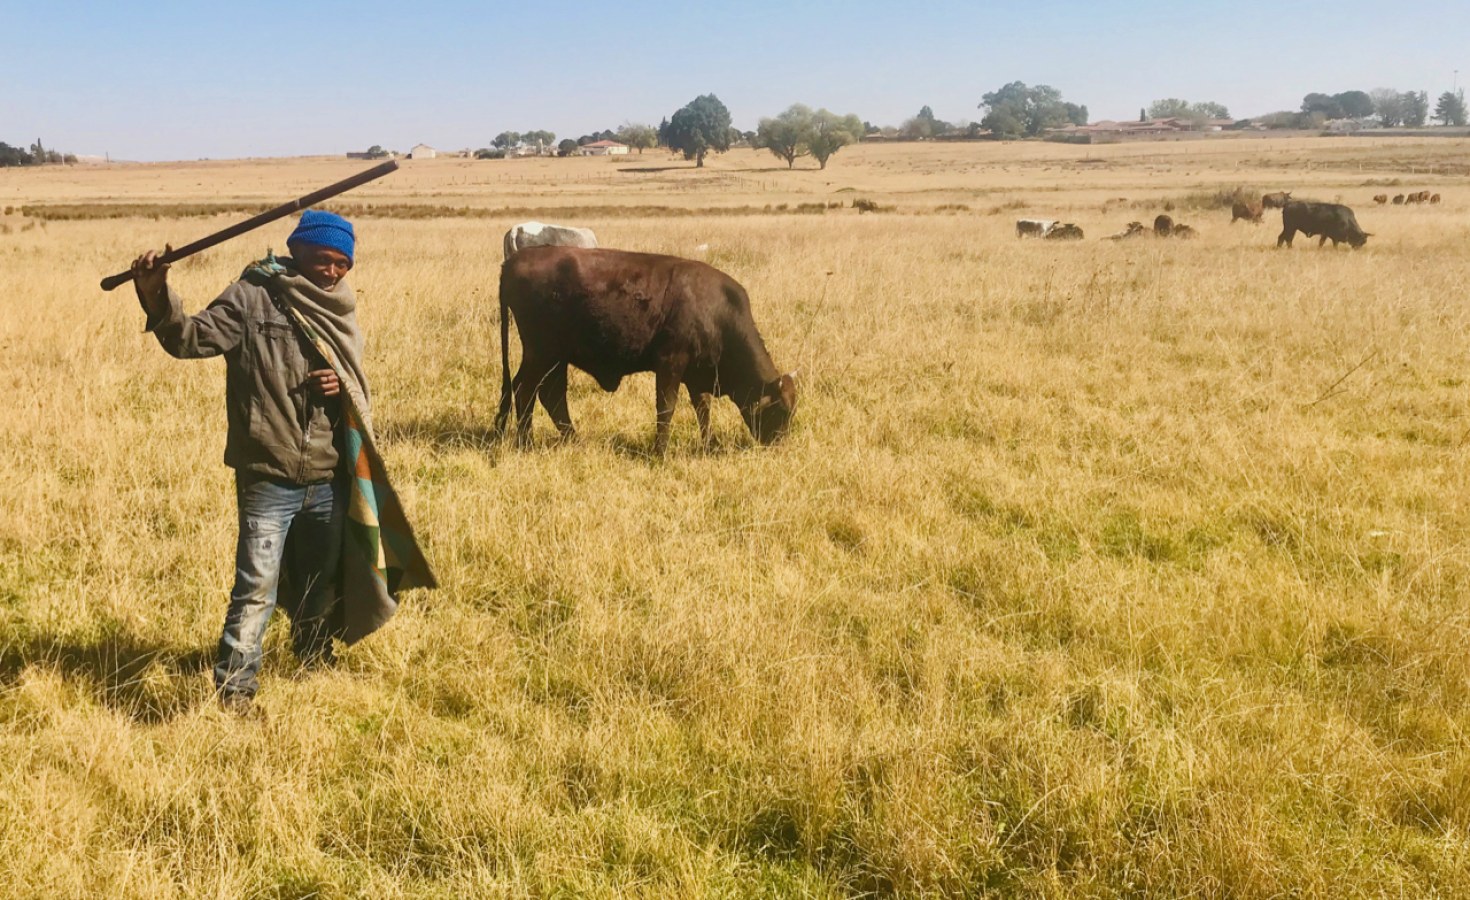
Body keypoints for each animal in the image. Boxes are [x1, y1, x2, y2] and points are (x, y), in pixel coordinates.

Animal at [496, 246, 797, 455]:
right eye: (781, 411)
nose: (778, 444)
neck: (716, 309)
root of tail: (515, 260)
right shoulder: (670, 365)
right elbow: (666, 409)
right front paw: (660, 452)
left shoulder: (696, 374)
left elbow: (703, 410)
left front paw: (708, 444)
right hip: (542, 355)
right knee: (527, 392)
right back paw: (526, 442)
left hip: (554, 358)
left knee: (548, 395)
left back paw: (572, 440)